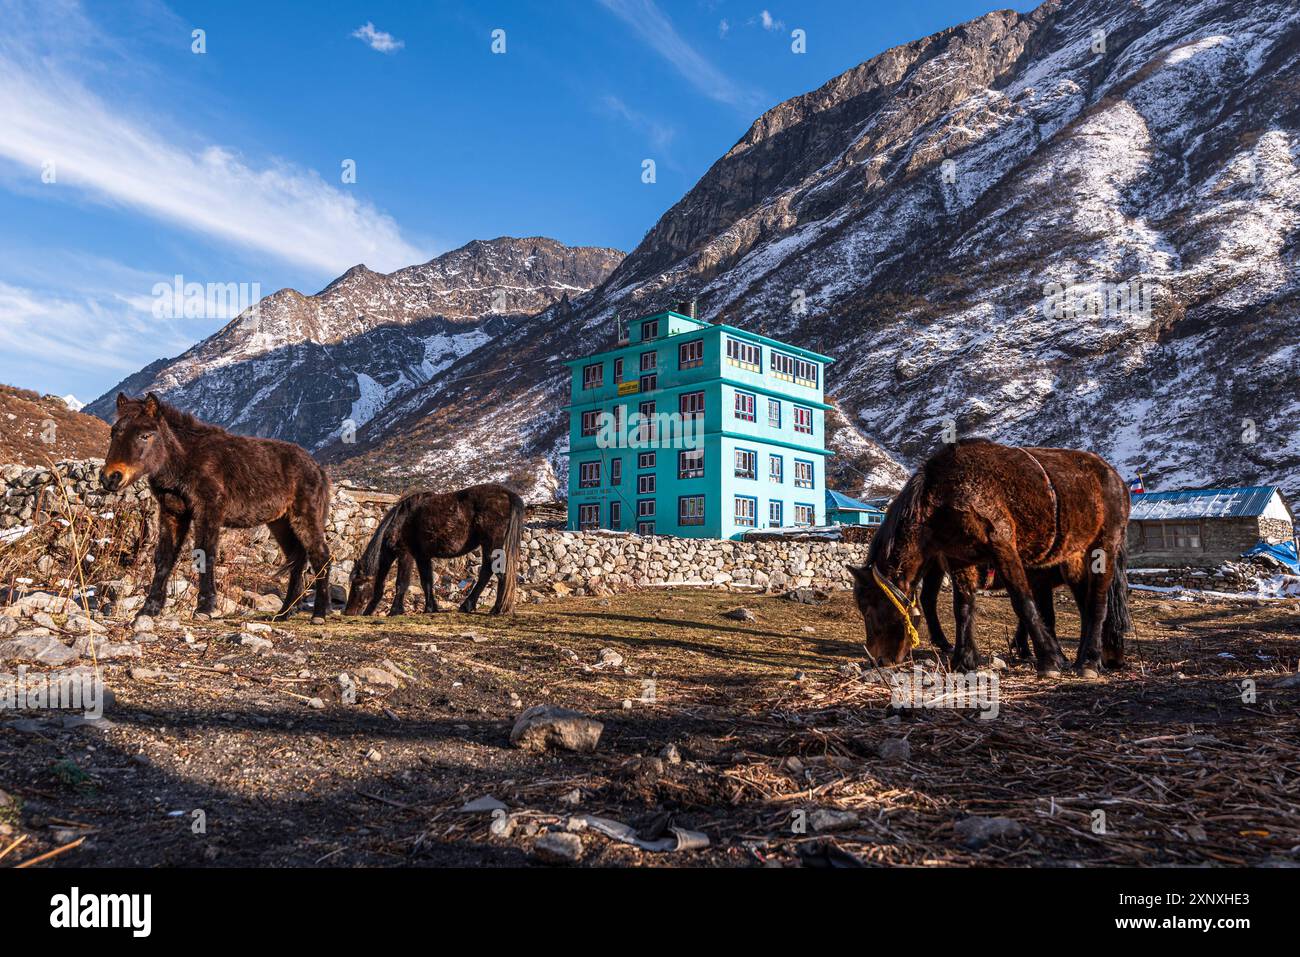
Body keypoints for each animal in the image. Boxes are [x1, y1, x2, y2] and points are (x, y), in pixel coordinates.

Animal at [101, 393, 333, 622]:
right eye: (114, 432)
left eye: (145, 435)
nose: (110, 477)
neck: (185, 459)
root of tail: (317, 468)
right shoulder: (172, 512)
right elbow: (164, 557)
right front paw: (149, 608)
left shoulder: (208, 510)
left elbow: (205, 553)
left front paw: (205, 607)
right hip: (280, 523)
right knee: (297, 560)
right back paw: (284, 612)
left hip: (305, 519)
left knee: (321, 557)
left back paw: (318, 614)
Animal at [343, 484, 524, 617]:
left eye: (357, 585)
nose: (347, 612)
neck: (399, 521)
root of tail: (508, 494)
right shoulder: (422, 556)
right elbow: (426, 582)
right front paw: (430, 608)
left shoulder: (405, 554)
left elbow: (401, 583)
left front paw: (395, 611)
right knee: (487, 571)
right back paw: (468, 606)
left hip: (492, 544)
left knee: (496, 571)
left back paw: (497, 609)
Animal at [848, 438, 1130, 678]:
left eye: (870, 609)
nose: (879, 659)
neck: (944, 496)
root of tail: (1115, 478)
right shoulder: (959, 560)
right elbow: (962, 607)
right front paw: (964, 660)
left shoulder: (1003, 548)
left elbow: (1024, 604)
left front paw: (1049, 659)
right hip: (1075, 561)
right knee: (1085, 605)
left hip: (1102, 549)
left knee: (1097, 603)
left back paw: (1090, 662)